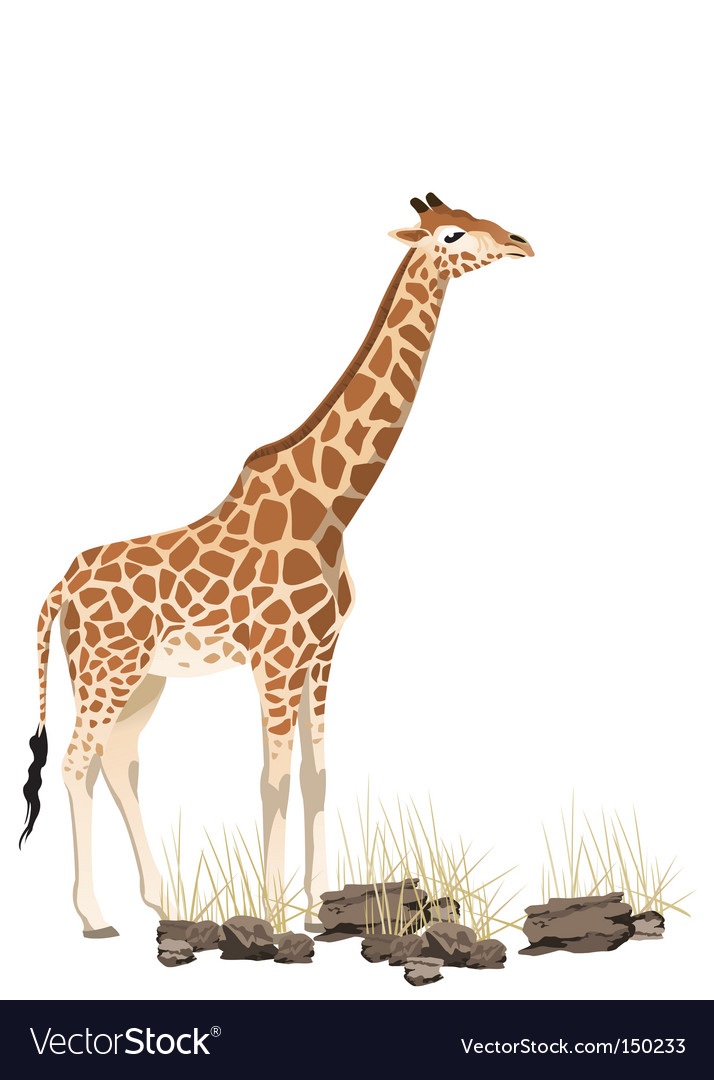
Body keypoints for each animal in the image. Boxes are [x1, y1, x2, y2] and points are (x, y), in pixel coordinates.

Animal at [20, 193, 534, 937]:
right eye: (452, 234)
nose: (522, 242)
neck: (333, 507)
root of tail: (60, 586)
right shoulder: (277, 655)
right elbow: (273, 779)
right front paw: (272, 916)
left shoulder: (321, 653)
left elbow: (316, 776)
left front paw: (322, 909)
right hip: (103, 671)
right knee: (74, 761)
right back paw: (94, 916)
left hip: (141, 678)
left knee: (116, 761)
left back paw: (162, 902)